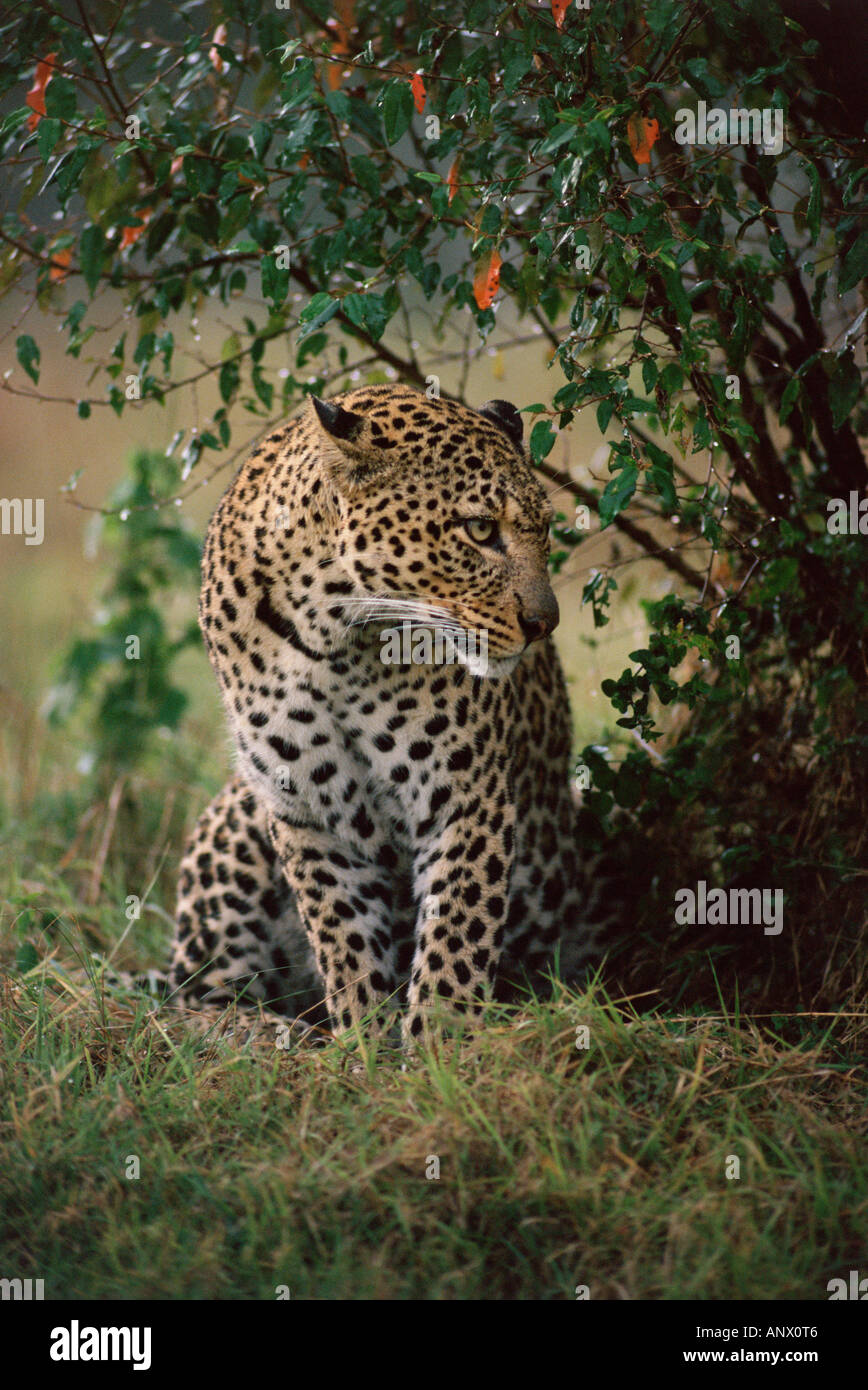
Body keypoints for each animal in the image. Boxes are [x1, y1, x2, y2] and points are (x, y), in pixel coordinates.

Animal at [164, 384, 625, 1045]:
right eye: (480, 529)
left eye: (542, 531)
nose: (545, 624)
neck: (333, 633)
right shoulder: (306, 810)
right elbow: (347, 944)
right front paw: (365, 1045)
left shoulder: (466, 797)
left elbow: (456, 942)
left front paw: (438, 1051)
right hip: (238, 822)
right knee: (193, 993)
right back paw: (264, 1033)